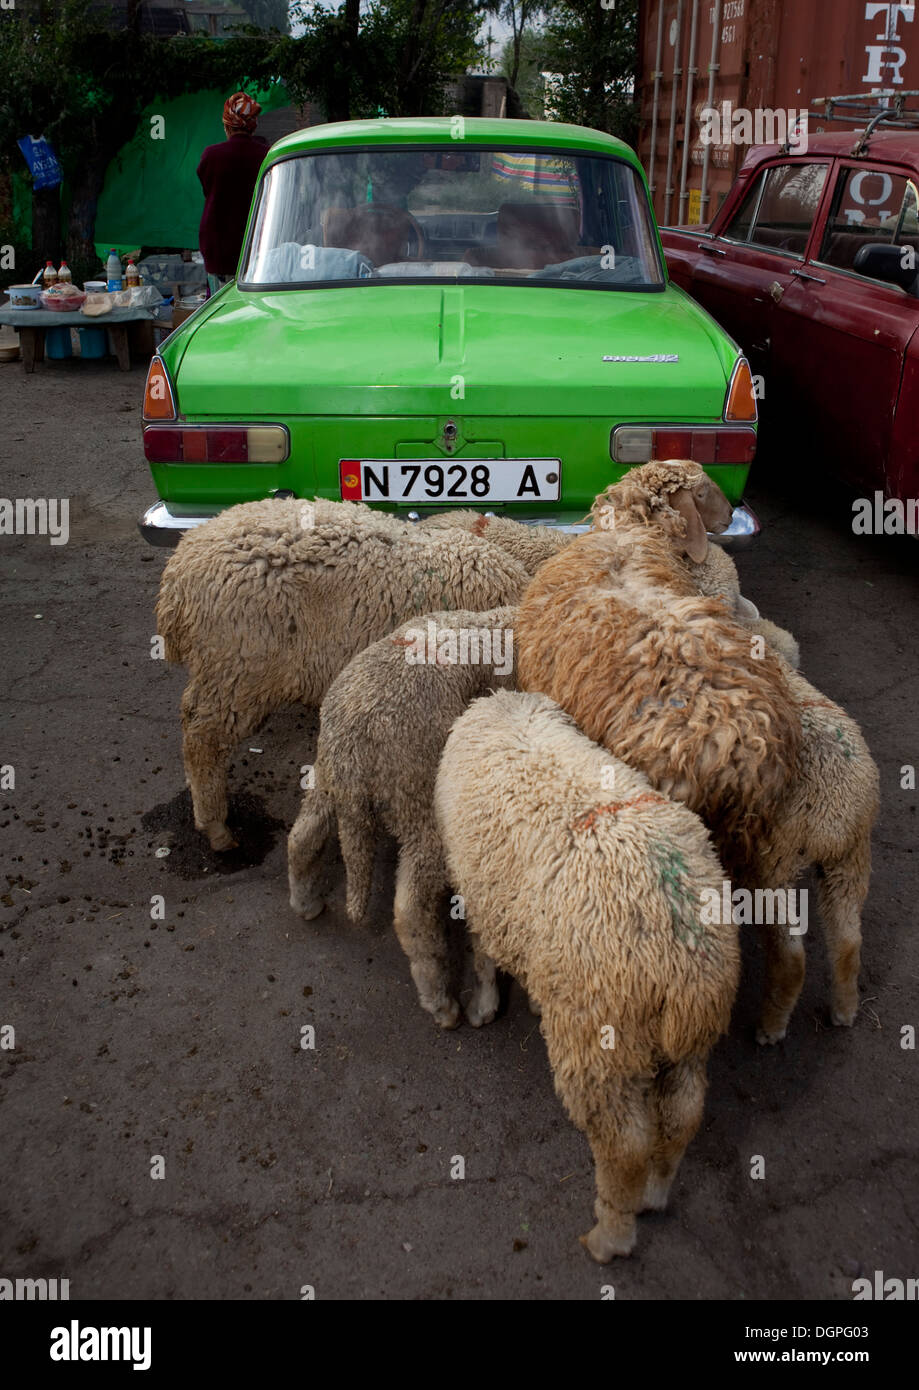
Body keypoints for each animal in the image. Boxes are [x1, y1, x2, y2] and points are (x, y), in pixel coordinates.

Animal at [287, 606, 518, 1029]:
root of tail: (351, 745)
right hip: (421, 800)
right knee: (410, 910)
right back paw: (442, 1003)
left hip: (326, 776)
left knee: (302, 836)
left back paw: (306, 902)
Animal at [434, 689, 740, 1261]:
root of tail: (681, 955)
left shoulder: (481, 892)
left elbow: (483, 953)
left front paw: (483, 1005)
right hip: (690, 1040)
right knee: (682, 1116)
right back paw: (656, 1192)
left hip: (601, 1039)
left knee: (622, 1146)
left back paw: (611, 1236)